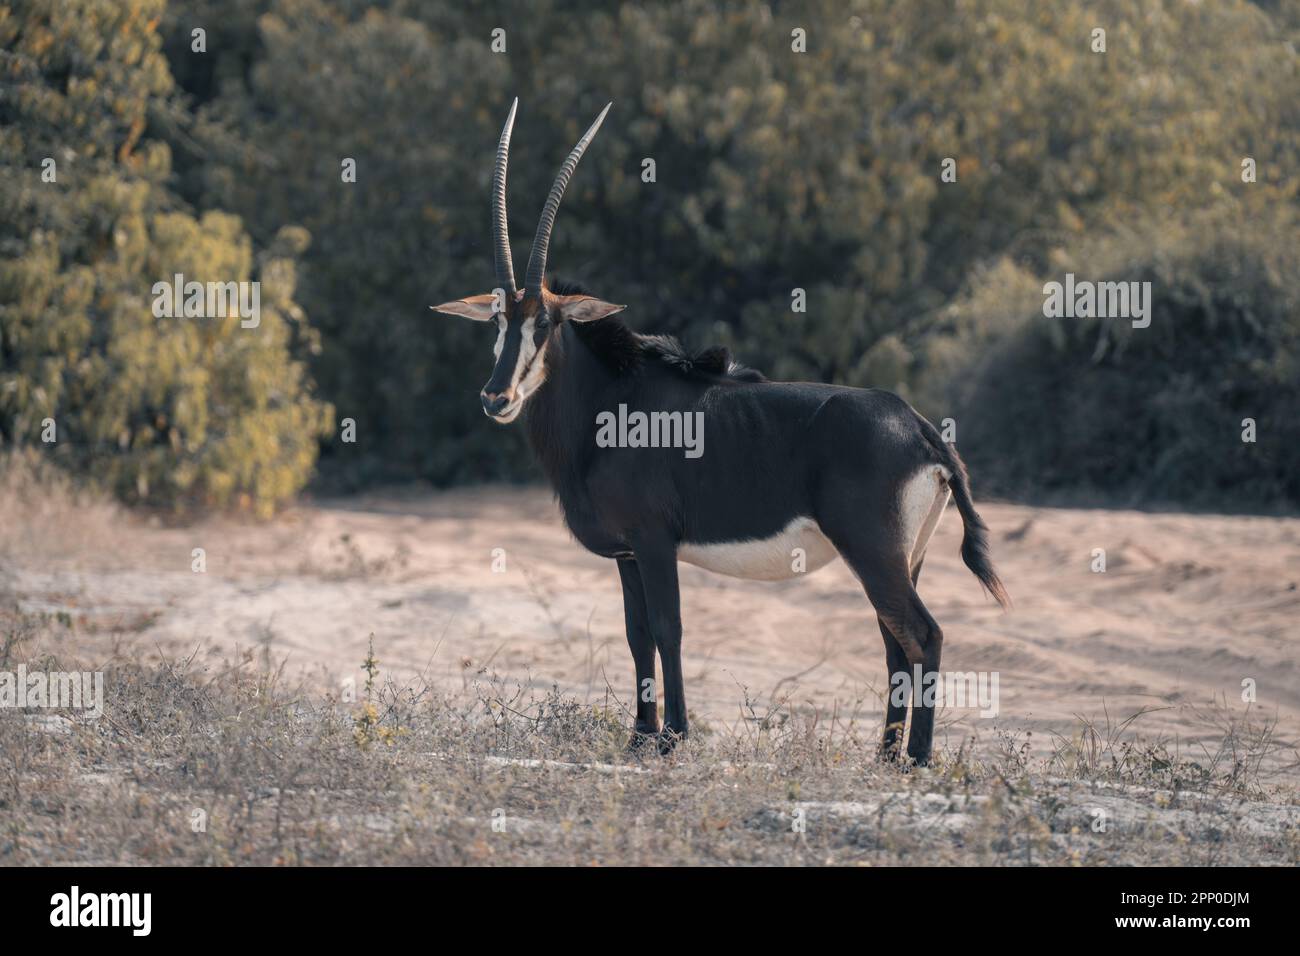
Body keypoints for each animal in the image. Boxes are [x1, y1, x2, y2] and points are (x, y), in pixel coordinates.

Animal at [433, 100, 1010, 765]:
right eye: (499, 321)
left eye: (546, 324)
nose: (495, 398)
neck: (611, 399)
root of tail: (921, 430)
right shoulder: (628, 553)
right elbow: (636, 636)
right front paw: (639, 735)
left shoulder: (654, 541)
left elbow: (669, 629)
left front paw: (673, 736)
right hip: (901, 558)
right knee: (896, 640)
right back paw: (886, 756)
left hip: (873, 551)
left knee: (923, 634)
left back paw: (916, 758)